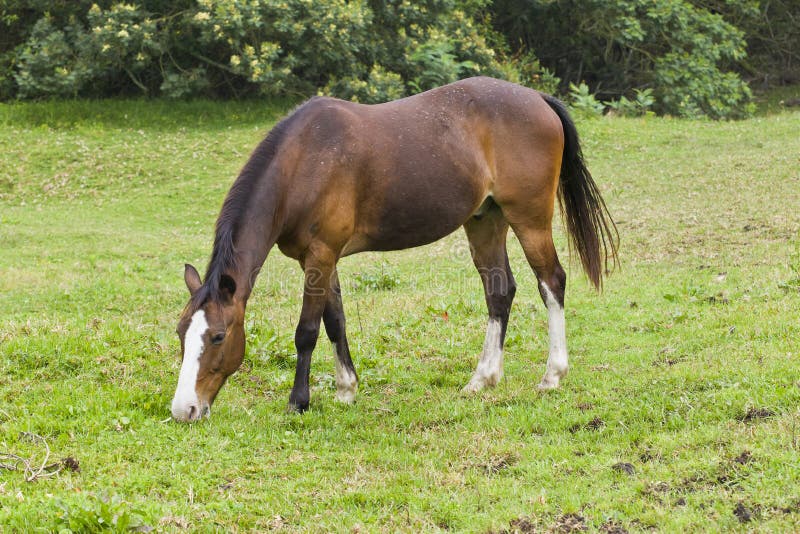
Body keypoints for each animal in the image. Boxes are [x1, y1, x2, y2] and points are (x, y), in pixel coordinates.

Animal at [170, 76, 618, 422]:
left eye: (218, 336)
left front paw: (299, 402)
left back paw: (552, 375)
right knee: (499, 292)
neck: (304, 162)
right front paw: (346, 389)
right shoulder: (319, 259)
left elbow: (307, 331)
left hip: (529, 218)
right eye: (180, 332)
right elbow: (336, 321)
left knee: (552, 283)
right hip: (485, 221)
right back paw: (482, 378)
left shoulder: (321, 254)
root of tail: (538, 98)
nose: (183, 410)